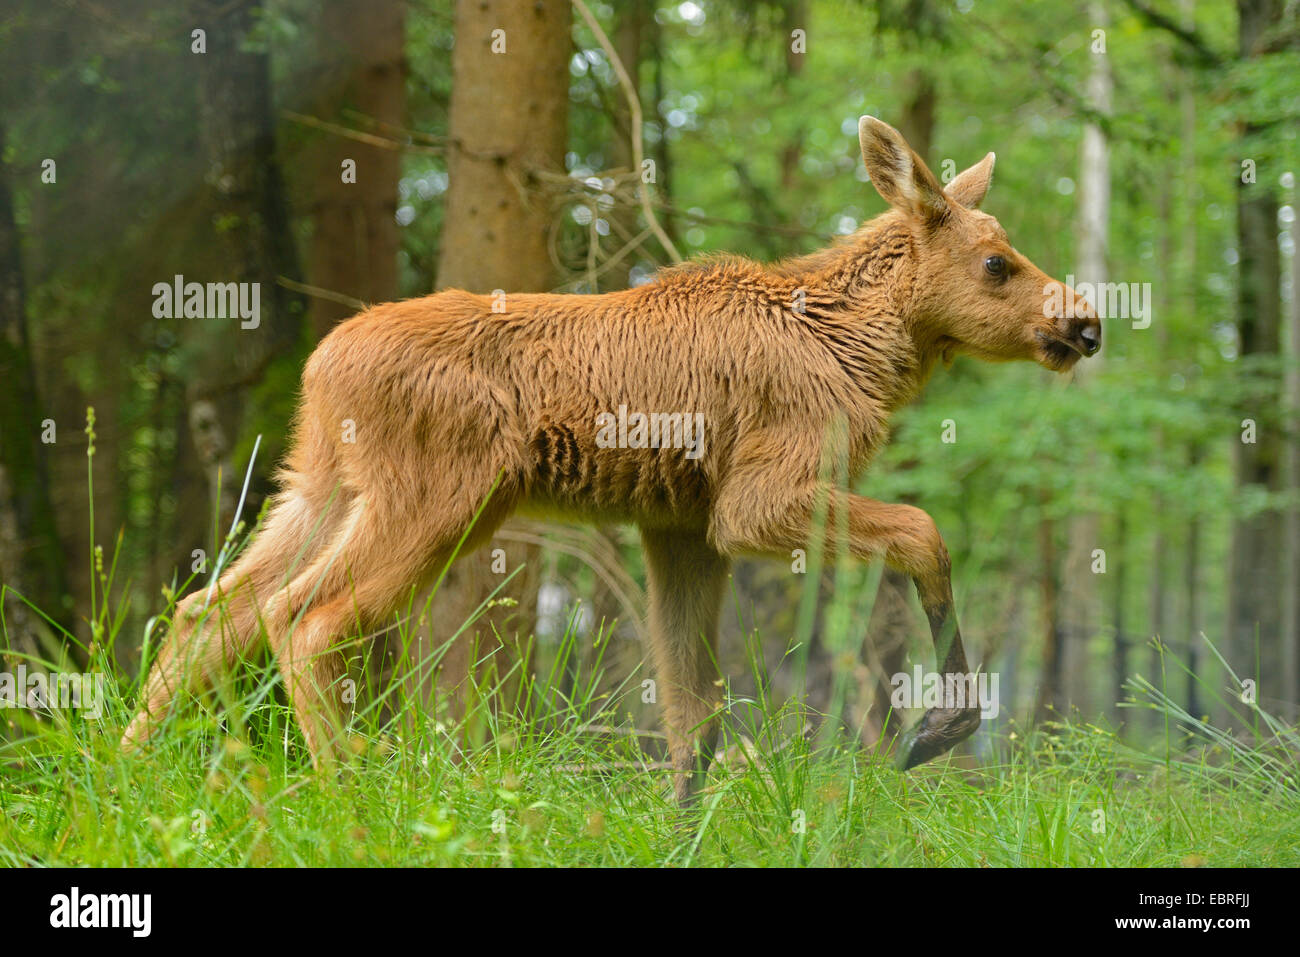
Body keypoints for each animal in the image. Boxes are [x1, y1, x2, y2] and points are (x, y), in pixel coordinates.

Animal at [122, 116, 1100, 804]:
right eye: (997, 263)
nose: (1086, 323)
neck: (855, 349)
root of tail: (320, 367)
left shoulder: (680, 526)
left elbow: (692, 716)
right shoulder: (754, 500)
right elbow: (924, 532)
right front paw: (938, 726)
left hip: (320, 486)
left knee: (208, 610)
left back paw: (121, 767)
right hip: (435, 500)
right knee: (307, 621)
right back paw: (349, 793)